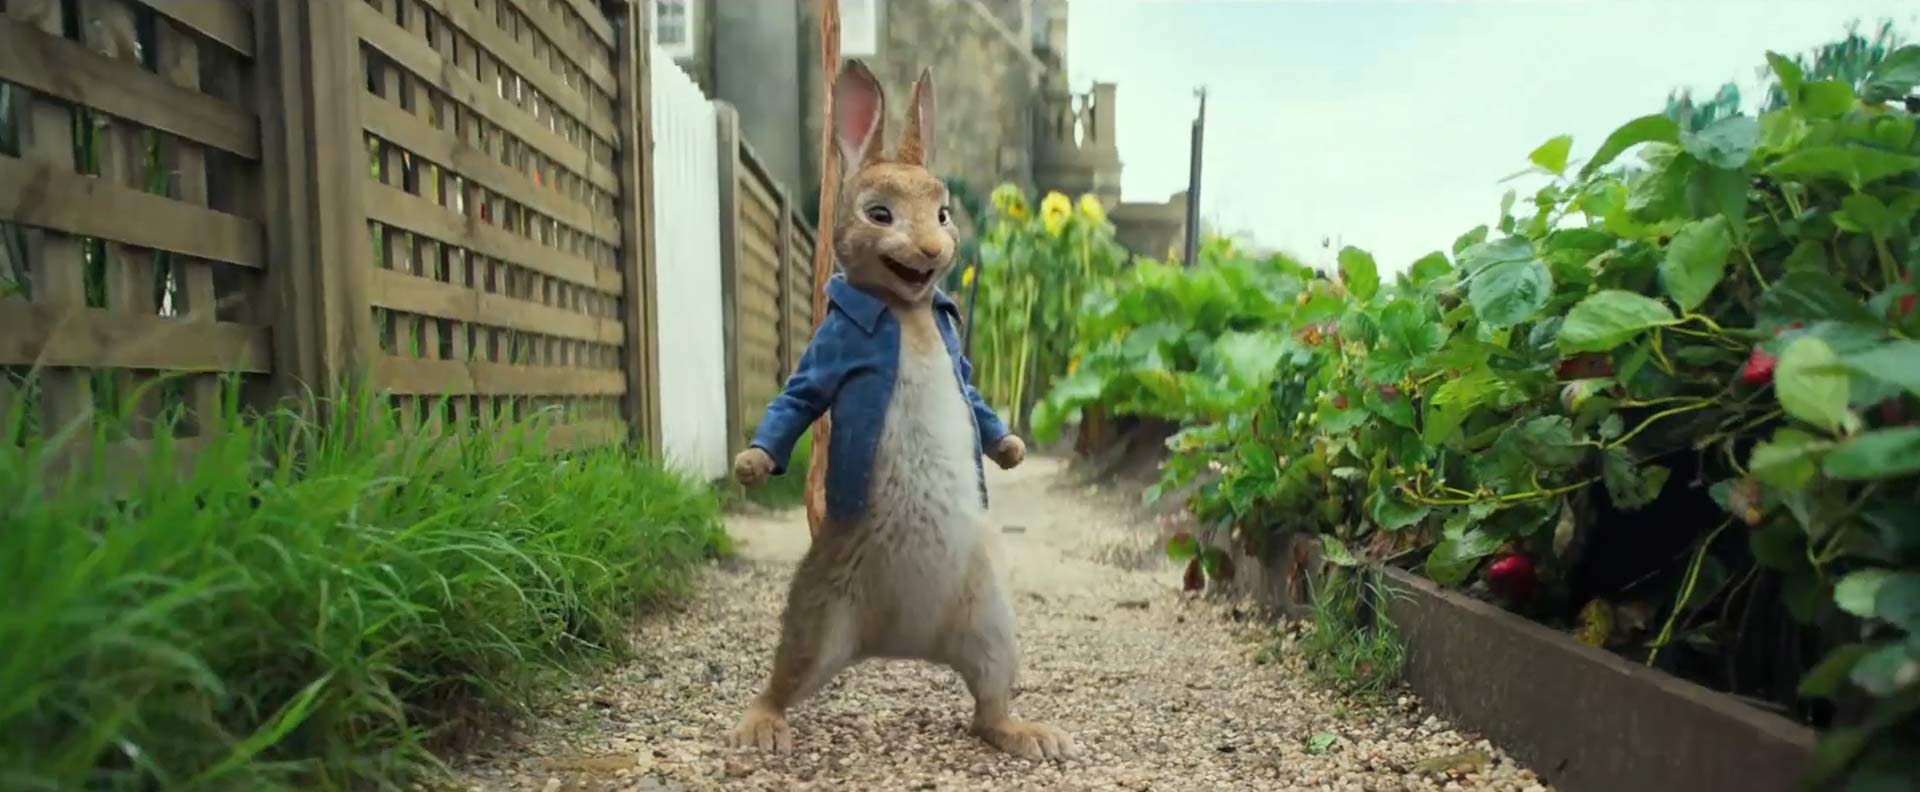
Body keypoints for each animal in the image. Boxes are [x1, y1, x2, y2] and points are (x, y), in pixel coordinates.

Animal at [725, 60, 1071, 761]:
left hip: (992, 624)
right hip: (819, 613)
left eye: (944, 211)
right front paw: (751, 464)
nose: (935, 252)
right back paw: (762, 725)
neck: (907, 311)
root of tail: (900, 644)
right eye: (879, 213)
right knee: (785, 677)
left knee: (987, 707)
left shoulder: (960, 366)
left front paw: (1011, 449)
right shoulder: (827, 352)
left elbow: (977, 400)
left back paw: (1026, 734)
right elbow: (797, 398)